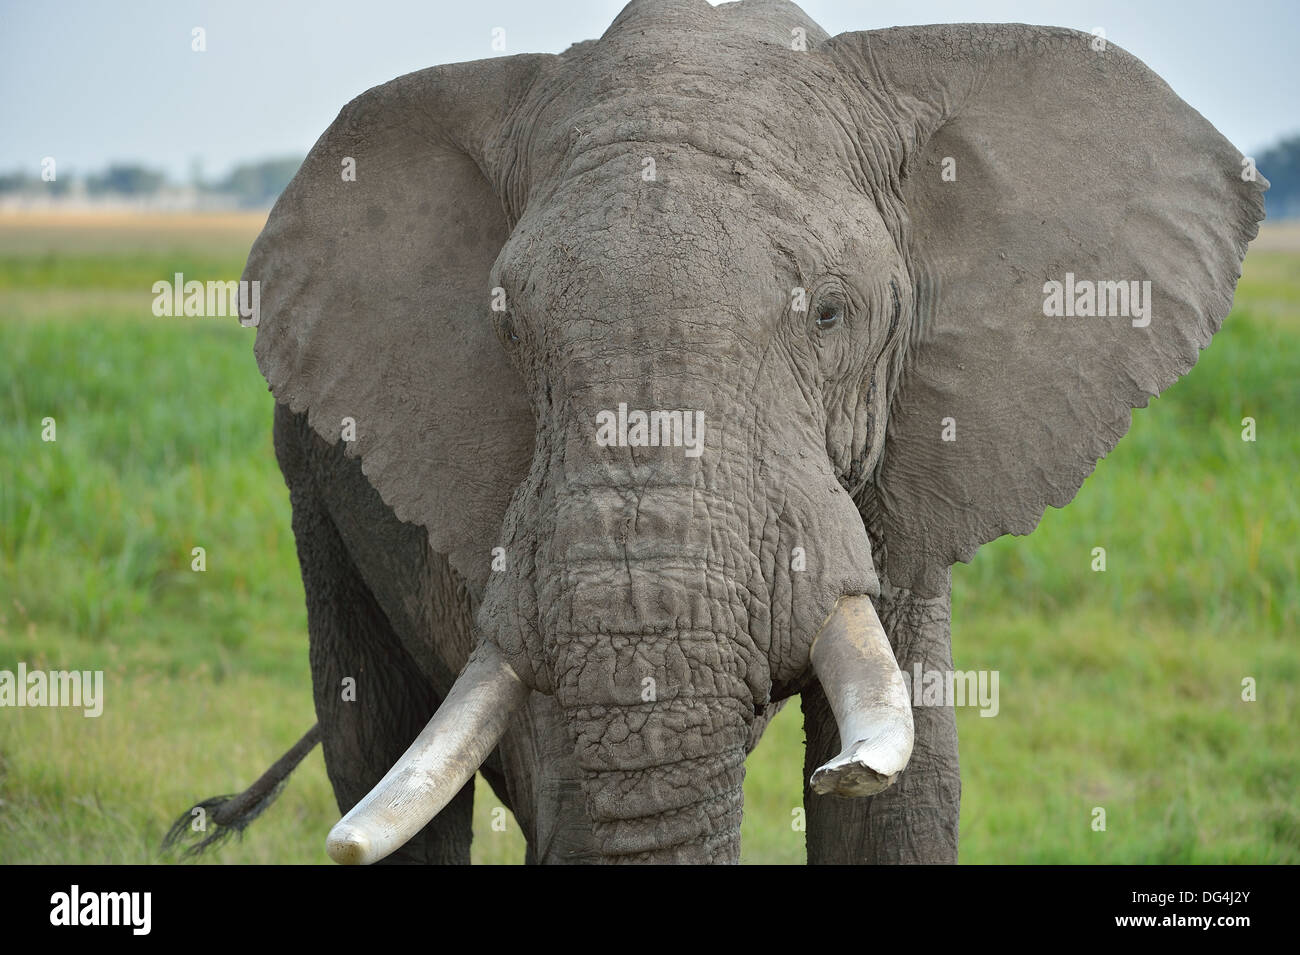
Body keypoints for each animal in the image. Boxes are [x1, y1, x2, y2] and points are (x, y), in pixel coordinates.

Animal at [171, 0, 1264, 864]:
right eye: (507, 329)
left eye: (828, 313)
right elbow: (572, 805)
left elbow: (907, 800)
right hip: (310, 483)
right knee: (376, 750)